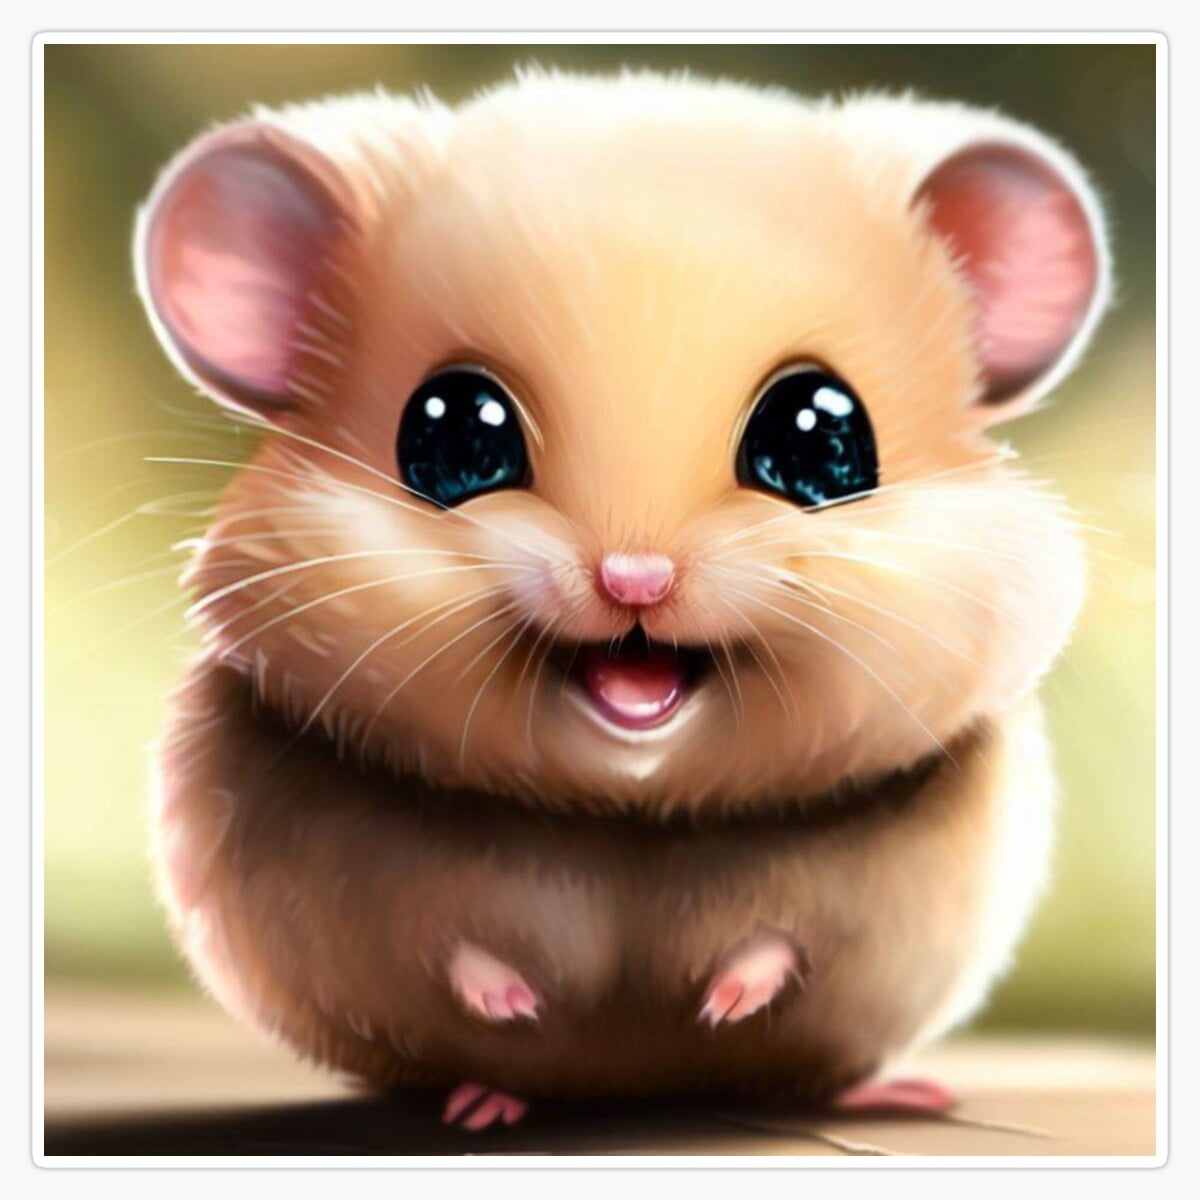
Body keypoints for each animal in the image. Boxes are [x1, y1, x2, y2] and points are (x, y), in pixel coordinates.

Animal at [135, 70, 1108, 1129]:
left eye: (819, 436)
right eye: (451, 433)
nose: (634, 578)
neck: (629, 808)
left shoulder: (870, 897)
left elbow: (777, 944)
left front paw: (721, 1005)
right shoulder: (356, 886)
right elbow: (453, 948)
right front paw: (517, 1007)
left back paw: (901, 1091)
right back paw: (486, 1103)